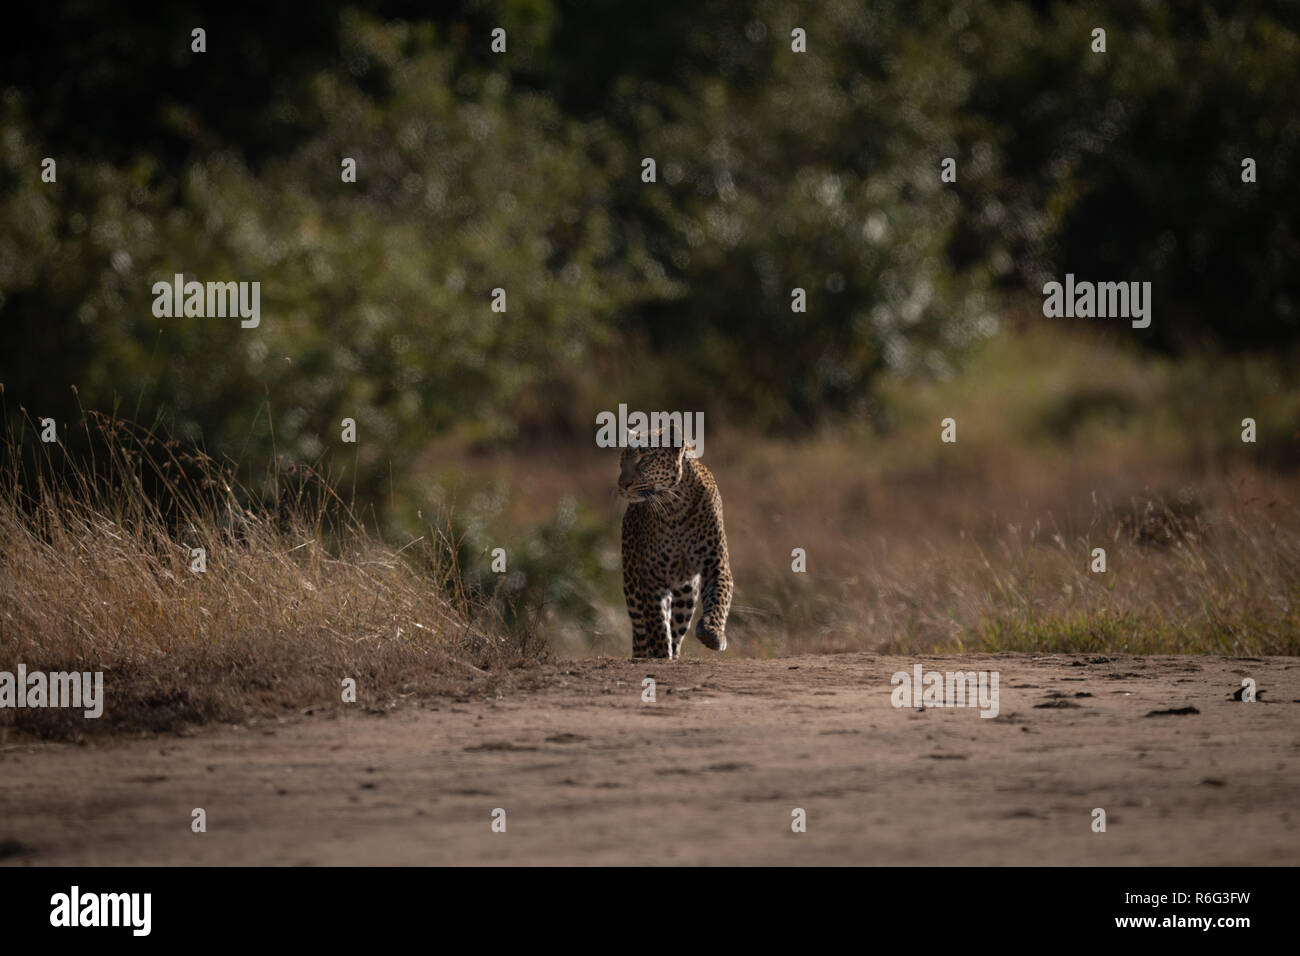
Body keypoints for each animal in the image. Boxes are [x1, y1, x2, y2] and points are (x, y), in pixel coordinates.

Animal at [616, 422, 733, 659]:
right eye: (621, 463)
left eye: (645, 459)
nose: (622, 484)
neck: (674, 506)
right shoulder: (651, 577)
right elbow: (657, 624)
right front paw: (661, 654)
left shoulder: (716, 564)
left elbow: (718, 599)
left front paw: (712, 633)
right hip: (633, 589)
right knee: (641, 633)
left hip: (686, 596)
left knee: (677, 628)